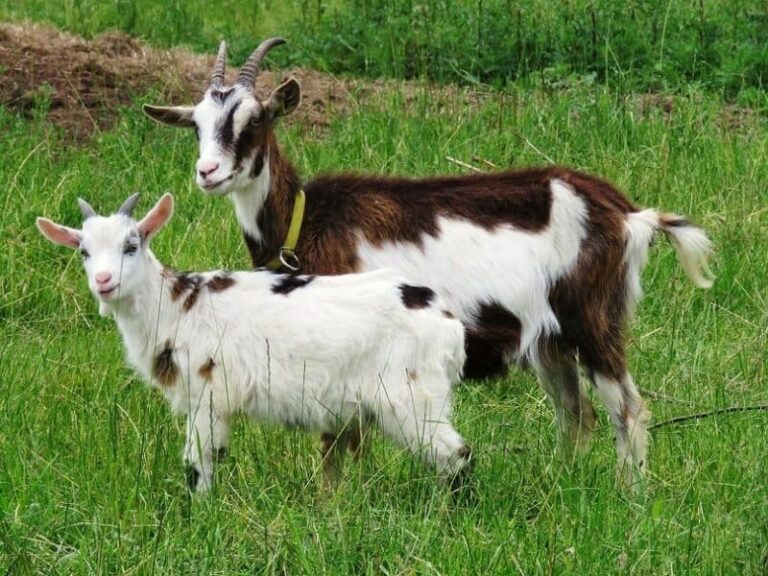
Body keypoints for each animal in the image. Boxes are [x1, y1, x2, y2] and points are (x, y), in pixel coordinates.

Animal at [36, 193, 471, 492]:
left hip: (412, 395)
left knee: (456, 455)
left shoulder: (208, 393)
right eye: (83, 252)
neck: (176, 306)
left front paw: (200, 513)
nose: (104, 281)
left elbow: (199, 460)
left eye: (132, 244)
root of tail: (449, 324)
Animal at [143, 39, 714, 484]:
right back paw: (562, 487)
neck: (305, 219)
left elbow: (339, 441)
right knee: (576, 416)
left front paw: (339, 507)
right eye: (196, 126)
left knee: (629, 411)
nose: (208, 172)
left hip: (593, 319)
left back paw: (630, 496)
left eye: (255, 120)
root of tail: (628, 213)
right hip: (550, 340)